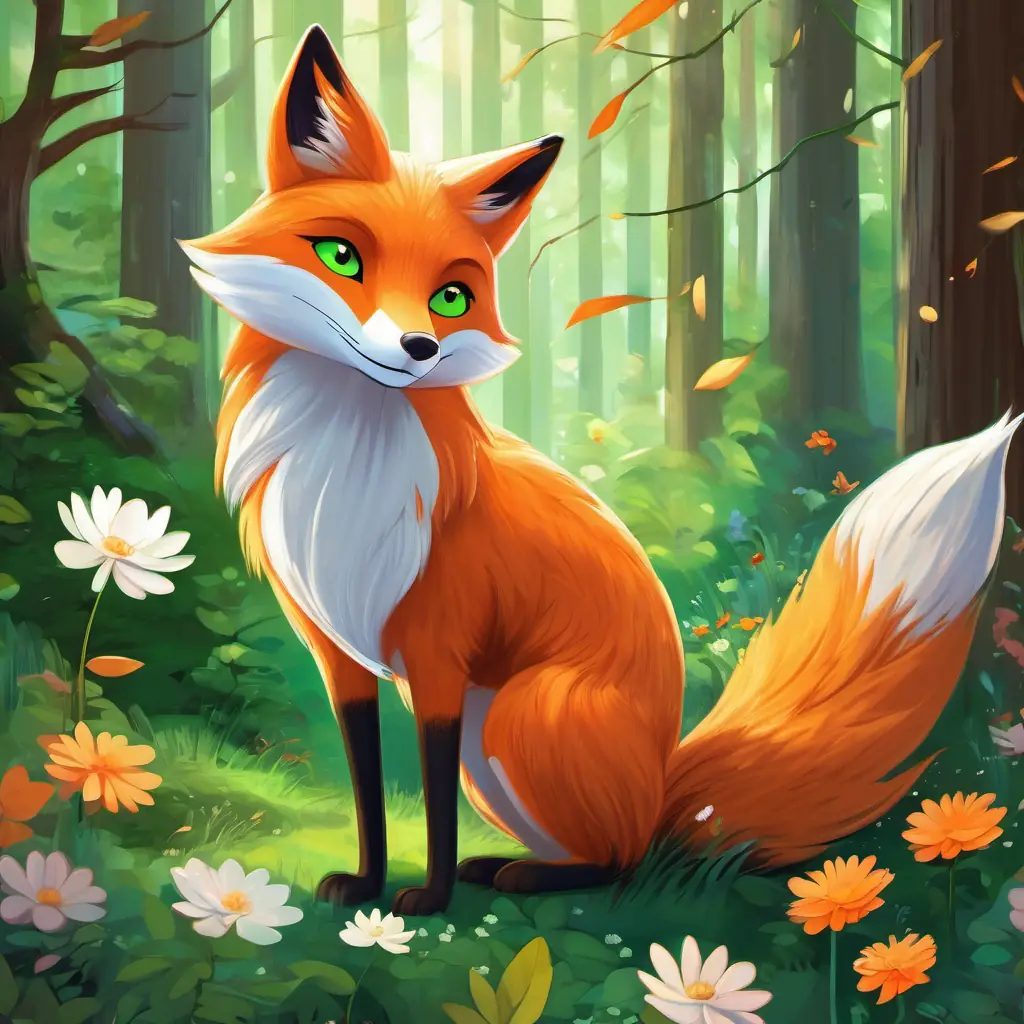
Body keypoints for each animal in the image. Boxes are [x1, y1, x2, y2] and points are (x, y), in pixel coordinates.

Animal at [182, 25, 1020, 917]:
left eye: (451, 298)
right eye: (343, 257)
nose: (420, 348)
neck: (349, 467)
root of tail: (663, 786)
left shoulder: (439, 655)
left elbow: (429, 796)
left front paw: (429, 896)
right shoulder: (340, 657)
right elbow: (367, 786)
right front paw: (367, 882)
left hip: (516, 713)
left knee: (623, 861)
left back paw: (523, 873)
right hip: (494, 743)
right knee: (611, 848)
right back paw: (507, 864)